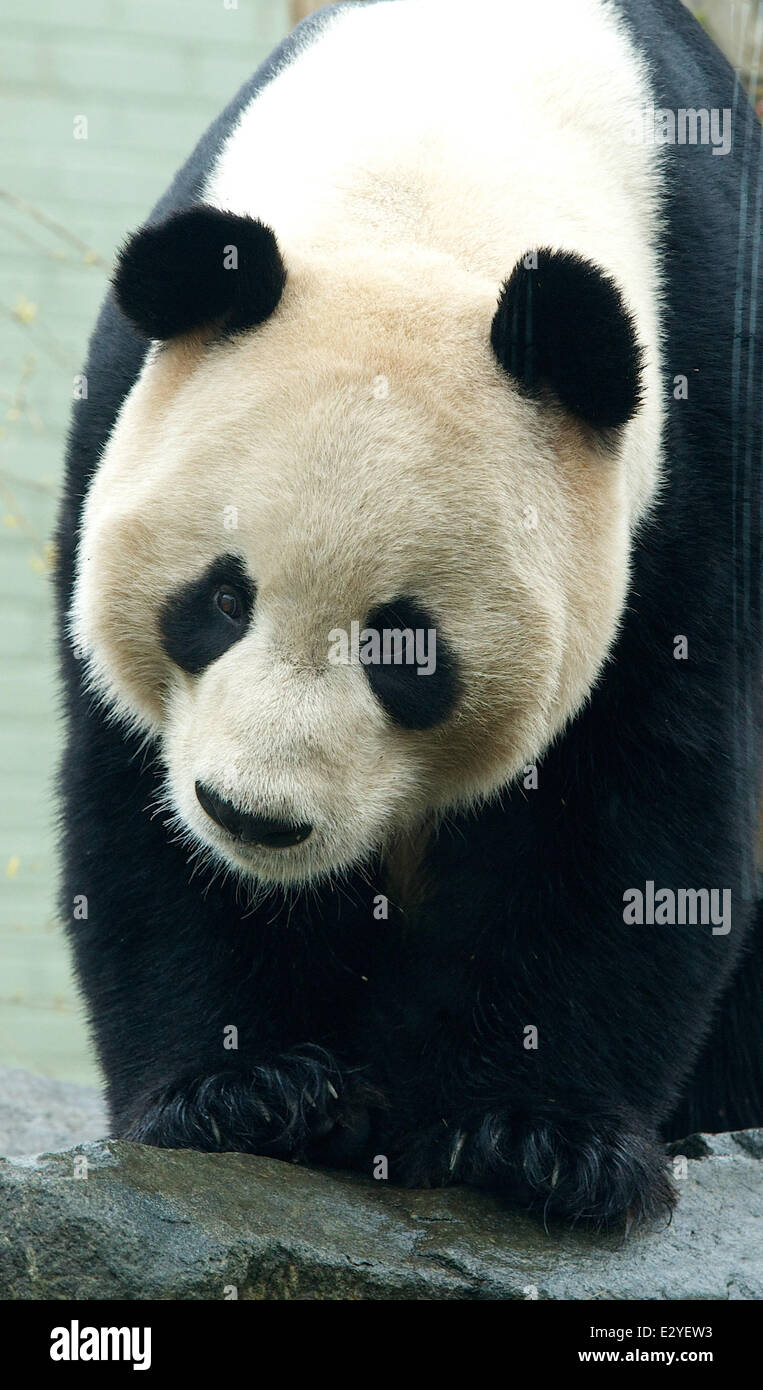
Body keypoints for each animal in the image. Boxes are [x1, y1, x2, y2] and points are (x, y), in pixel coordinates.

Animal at [57, 0, 761, 1227]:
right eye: (220, 598)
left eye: (406, 649)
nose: (254, 817)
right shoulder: (126, 413)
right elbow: (132, 801)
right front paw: (247, 1092)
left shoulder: (693, 446)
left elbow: (636, 798)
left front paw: (535, 1137)